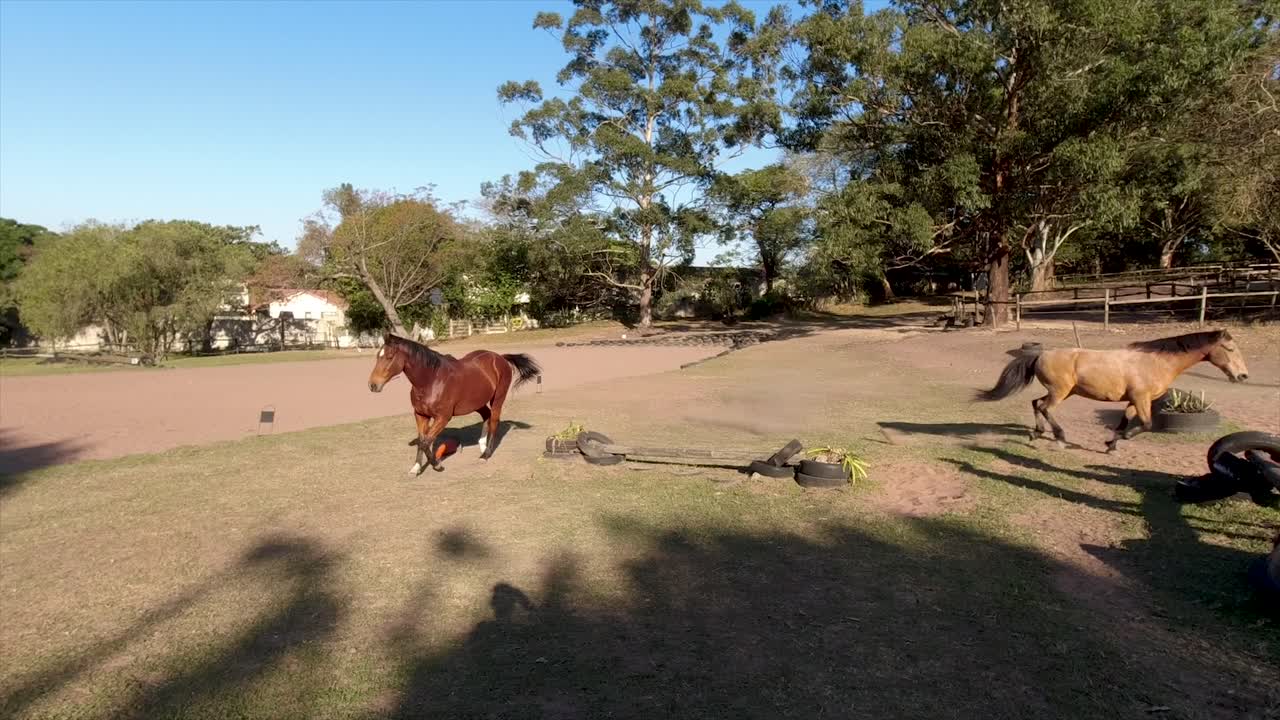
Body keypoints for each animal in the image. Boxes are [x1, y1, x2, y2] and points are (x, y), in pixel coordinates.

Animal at [367, 333, 541, 475]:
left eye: (390, 356)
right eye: (377, 356)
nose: (373, 385)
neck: (431, 380)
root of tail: (499, 357)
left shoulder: (443, 417)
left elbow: (425, 441)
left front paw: (437, 466)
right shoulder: (421, 415)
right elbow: (422, 440)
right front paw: (415, 468)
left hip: (498, 399)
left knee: (494, 421)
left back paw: (485, 455)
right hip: (478, 403)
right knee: (487, 416)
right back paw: (482, 446)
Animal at [977, 329, 1249, 452]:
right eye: (1230, 349)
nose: (1243, 376)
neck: (1155, 362)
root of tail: (1041, 354)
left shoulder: (1134, 400)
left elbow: (1124, 421)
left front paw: (1111, 444)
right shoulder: (1142, 399)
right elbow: (1146, 425)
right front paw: (1120, 440)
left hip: (1064, 392)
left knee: (1035, 403)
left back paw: (1036, 434)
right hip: (1060, 393)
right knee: (1044, 407)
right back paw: (1060, 438)